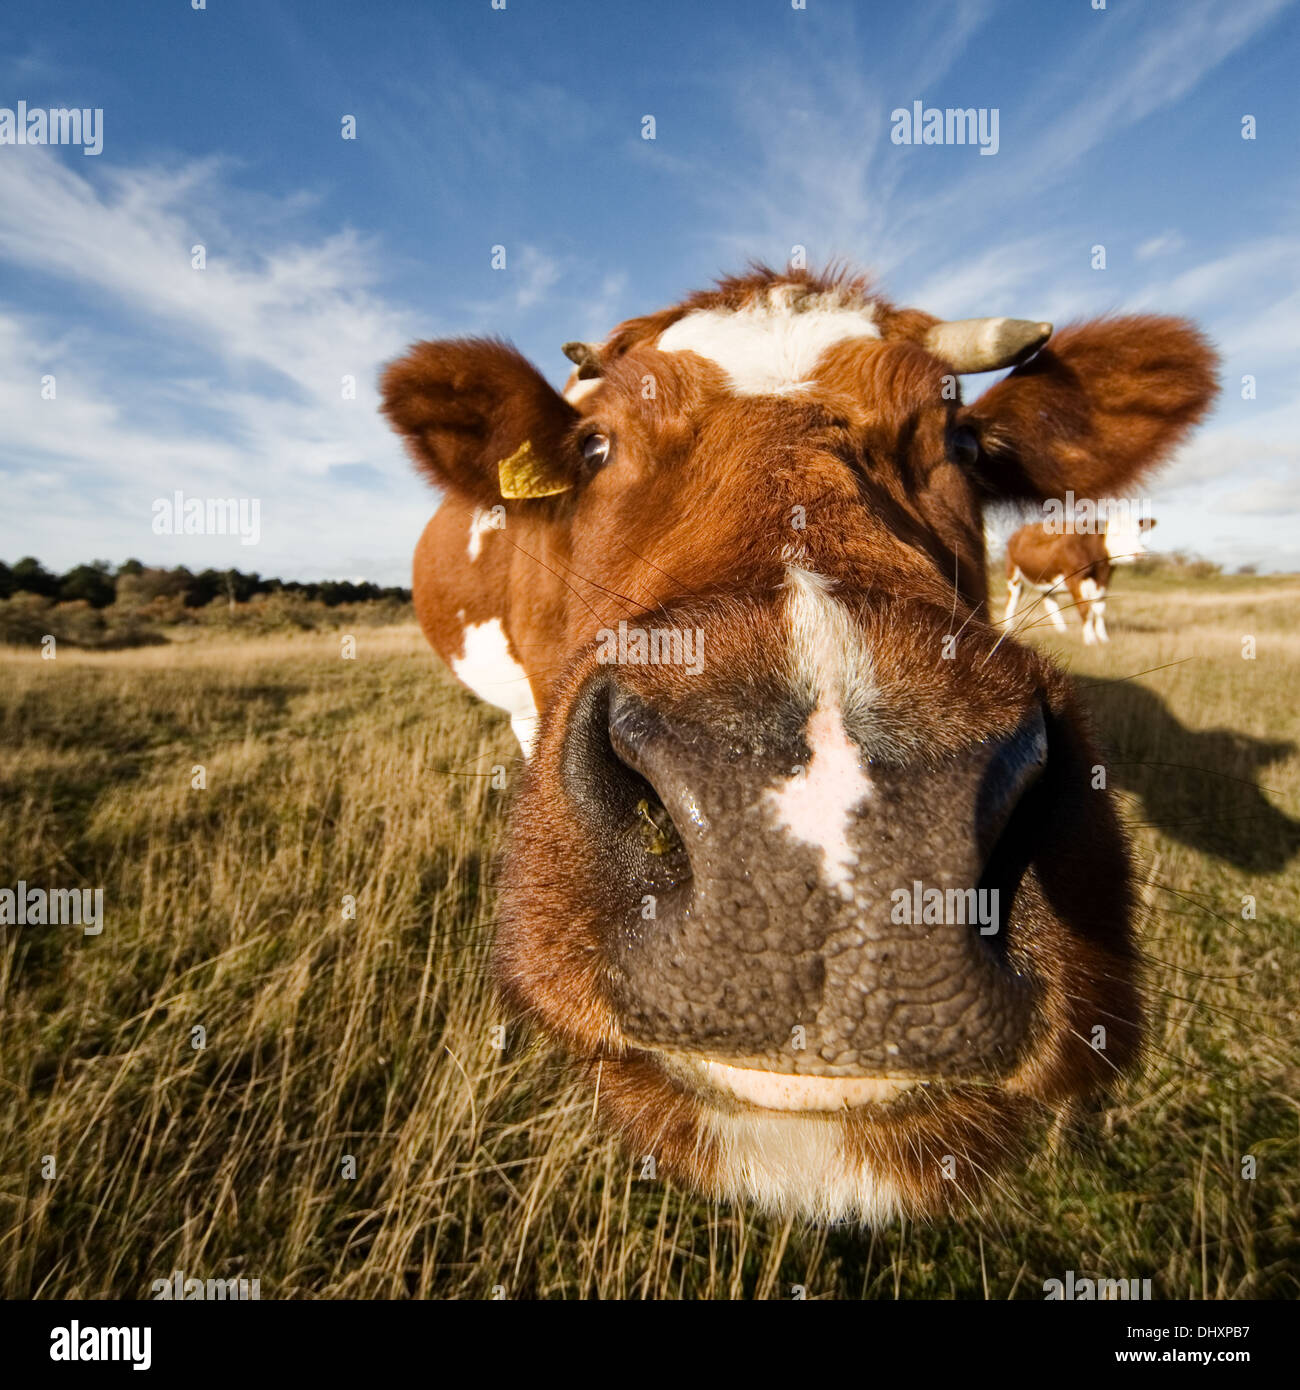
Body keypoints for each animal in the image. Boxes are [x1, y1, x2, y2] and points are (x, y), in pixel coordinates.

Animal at [1003, 516, 1157, 644]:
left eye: (1138, 534)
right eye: (1115, 534)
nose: (1140, 554)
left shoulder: (1103, 582)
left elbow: (1100, 610)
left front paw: (1103, 638)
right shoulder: (1074, 580)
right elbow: (1085, 609)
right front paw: (1090, 639)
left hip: (1046, 578)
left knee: (1050, 603)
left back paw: (1062, 631)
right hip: (1013, 574)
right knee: (1012, 600)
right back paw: (1008, 628)